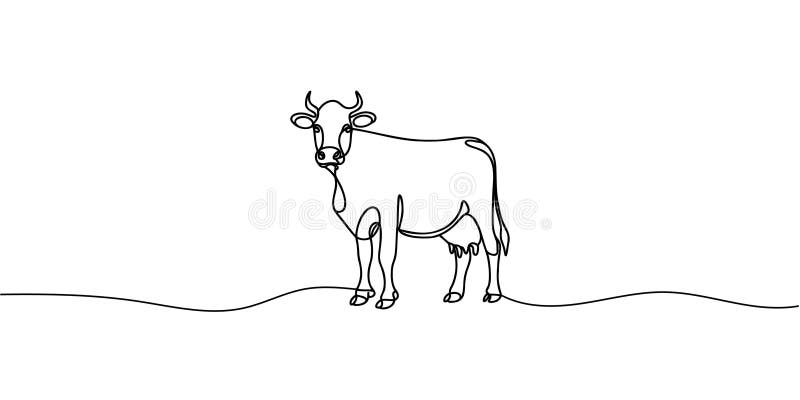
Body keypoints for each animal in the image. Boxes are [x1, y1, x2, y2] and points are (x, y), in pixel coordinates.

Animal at [290, 91, 510, 309]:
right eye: (316, 127)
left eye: (347, 127)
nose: (328, 154)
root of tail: (470, 141)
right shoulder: (360, 222)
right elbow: (364, 257)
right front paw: (362, 293)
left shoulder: (389, 213)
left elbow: (384, 256)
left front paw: (387, 297)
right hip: (457, 222)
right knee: (461, 252)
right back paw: (454, 293)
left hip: (482, 211)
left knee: (493, 246)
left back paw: (492, 293)